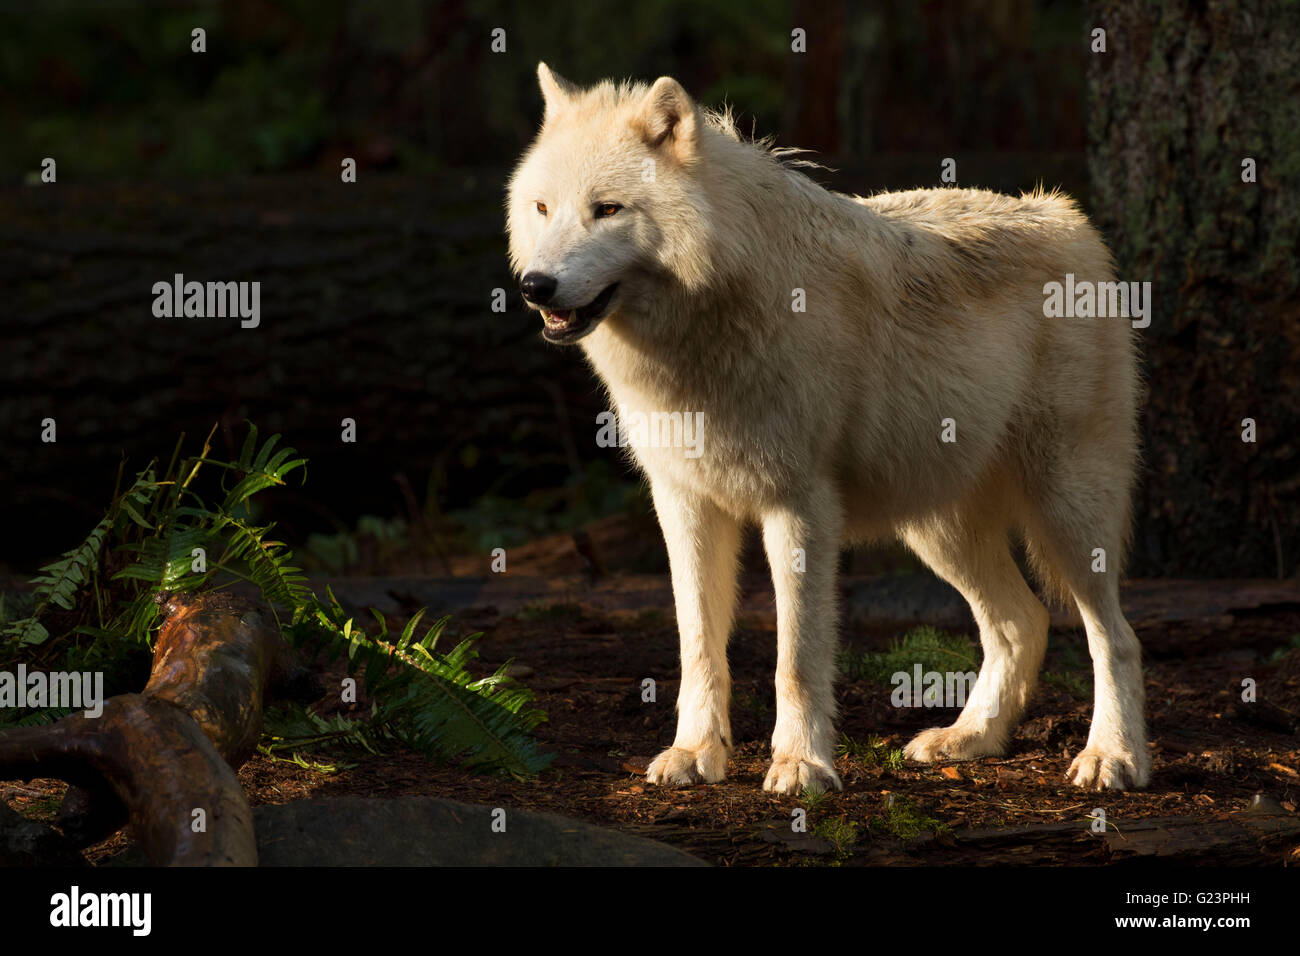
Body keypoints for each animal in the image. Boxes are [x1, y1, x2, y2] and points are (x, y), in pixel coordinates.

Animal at [506, 64, 1149, 794]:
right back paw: (969, 740)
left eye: (608, 209)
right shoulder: (685, 503)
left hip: (1066, 511)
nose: (534, 285)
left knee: (1114, 636)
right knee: (1023, 622)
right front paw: (696, 753)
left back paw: (1114, 757)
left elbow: (796, 658)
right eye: (542, 209)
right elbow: (699, 649)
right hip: (938, 528)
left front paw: (800, 764)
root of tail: (1066, 215)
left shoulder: (800, 507)